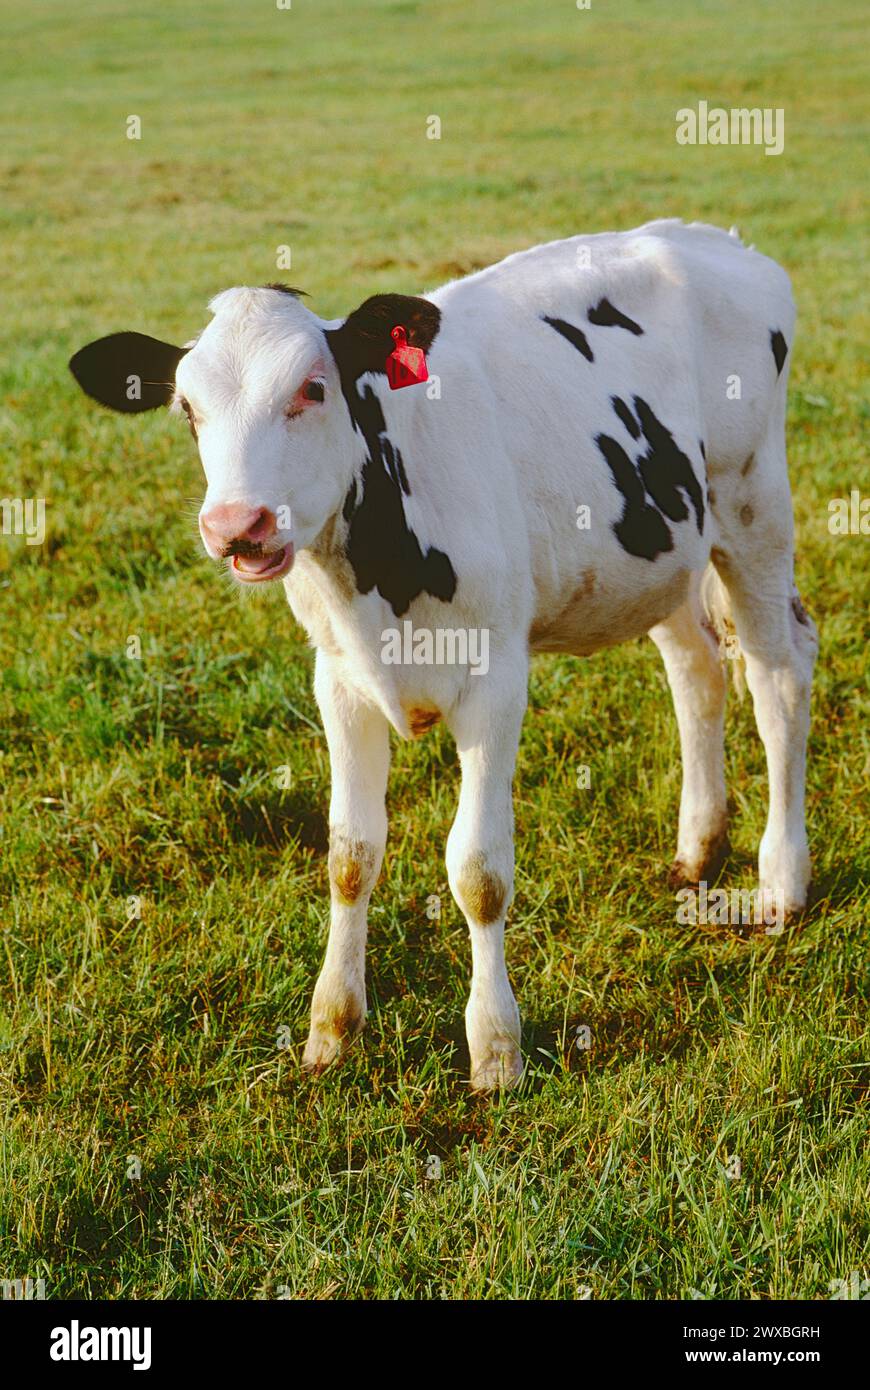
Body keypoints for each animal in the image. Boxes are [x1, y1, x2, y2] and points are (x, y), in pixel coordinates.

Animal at [69, 218, 818, 1089]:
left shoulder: (496, 679)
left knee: (777, 676)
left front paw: (495, 1050)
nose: (236, 526)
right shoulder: (338, 680)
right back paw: (697, 849)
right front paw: (332, 1029)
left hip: (754, 508)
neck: (376, 575)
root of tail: (710, 238)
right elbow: (350, 854)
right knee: (697, 670)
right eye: (187, 407)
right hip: (662, 550)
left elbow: (478, 871)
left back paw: (780, 880)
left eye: (312, 390)